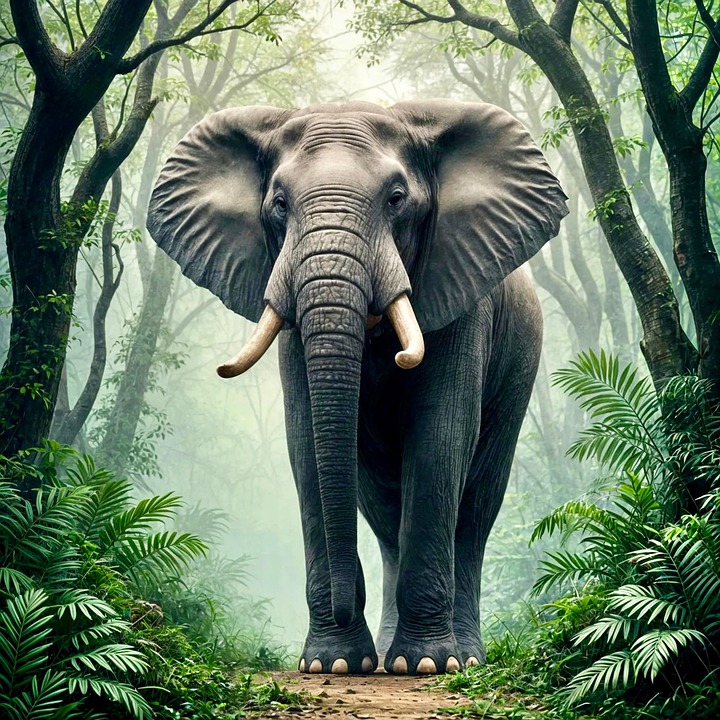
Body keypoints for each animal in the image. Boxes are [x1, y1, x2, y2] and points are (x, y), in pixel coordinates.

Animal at [147, 100, 568, 676]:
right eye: (279, 205)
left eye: (396, 200)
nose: (346, 607)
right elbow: (306, 448)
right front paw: (334, 665)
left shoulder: (463, 294)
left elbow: (439, 441)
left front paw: (429, 665)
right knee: (385, 514)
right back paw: (387, 657)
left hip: (520, 366)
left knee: (476, 507)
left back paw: (456, 659)